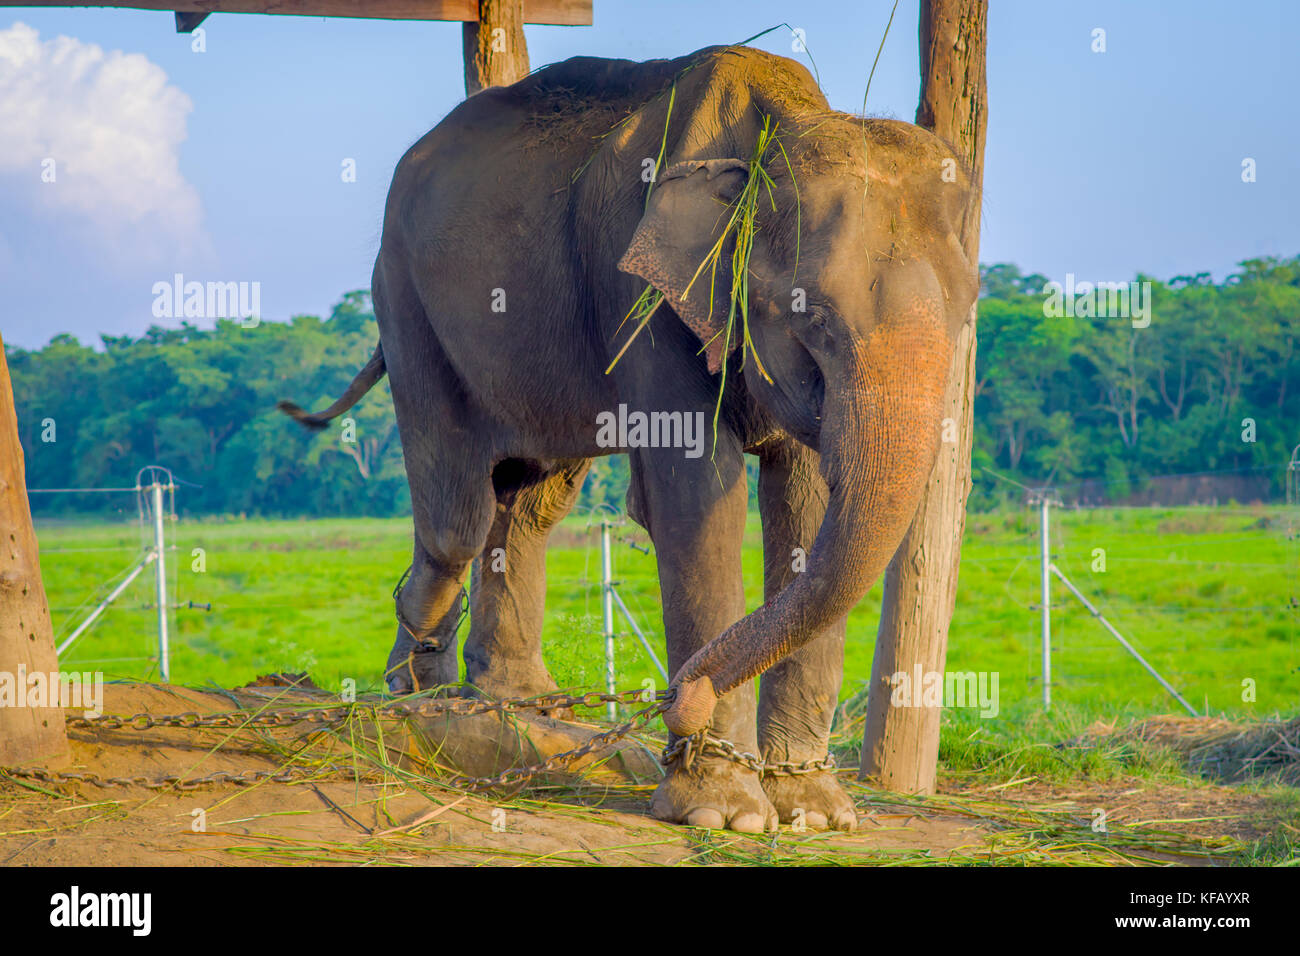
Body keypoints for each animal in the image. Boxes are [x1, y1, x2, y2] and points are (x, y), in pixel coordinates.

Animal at [280, 45, 979, 833]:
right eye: (816, 317)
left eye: (969, 308)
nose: (678, 696)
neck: (776, 129)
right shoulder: (637, 285)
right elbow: (696, 493)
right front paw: (724, 813)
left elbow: (805, 502)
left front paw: (815, 813)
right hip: (404, 298)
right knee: (458, 513)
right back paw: (419, 690)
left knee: (529, 500)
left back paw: (516, 699)